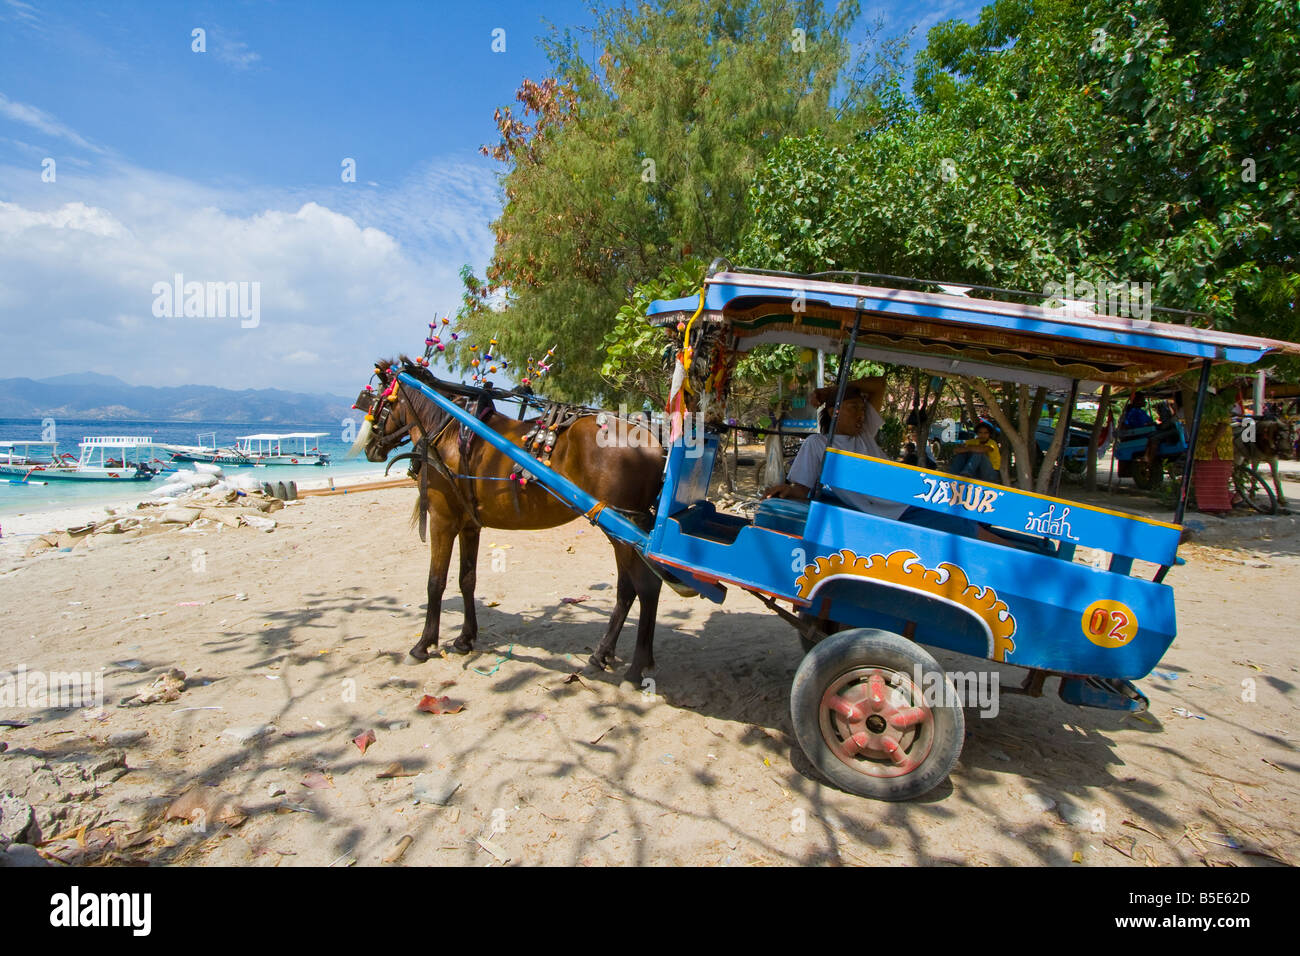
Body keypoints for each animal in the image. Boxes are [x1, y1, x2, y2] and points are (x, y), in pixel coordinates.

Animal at [354, 359, 668, 685]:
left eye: (375, 402)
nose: (371, 449)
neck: (449, 430)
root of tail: (652, 439)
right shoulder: (470, 525)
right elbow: (467, 579)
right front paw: (465, 638)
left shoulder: (442, 520)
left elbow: (435, 582)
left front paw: (424, 644)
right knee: (630, 589)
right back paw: (604, 655)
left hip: (623, 530)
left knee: (644, 587)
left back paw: (636, 665)